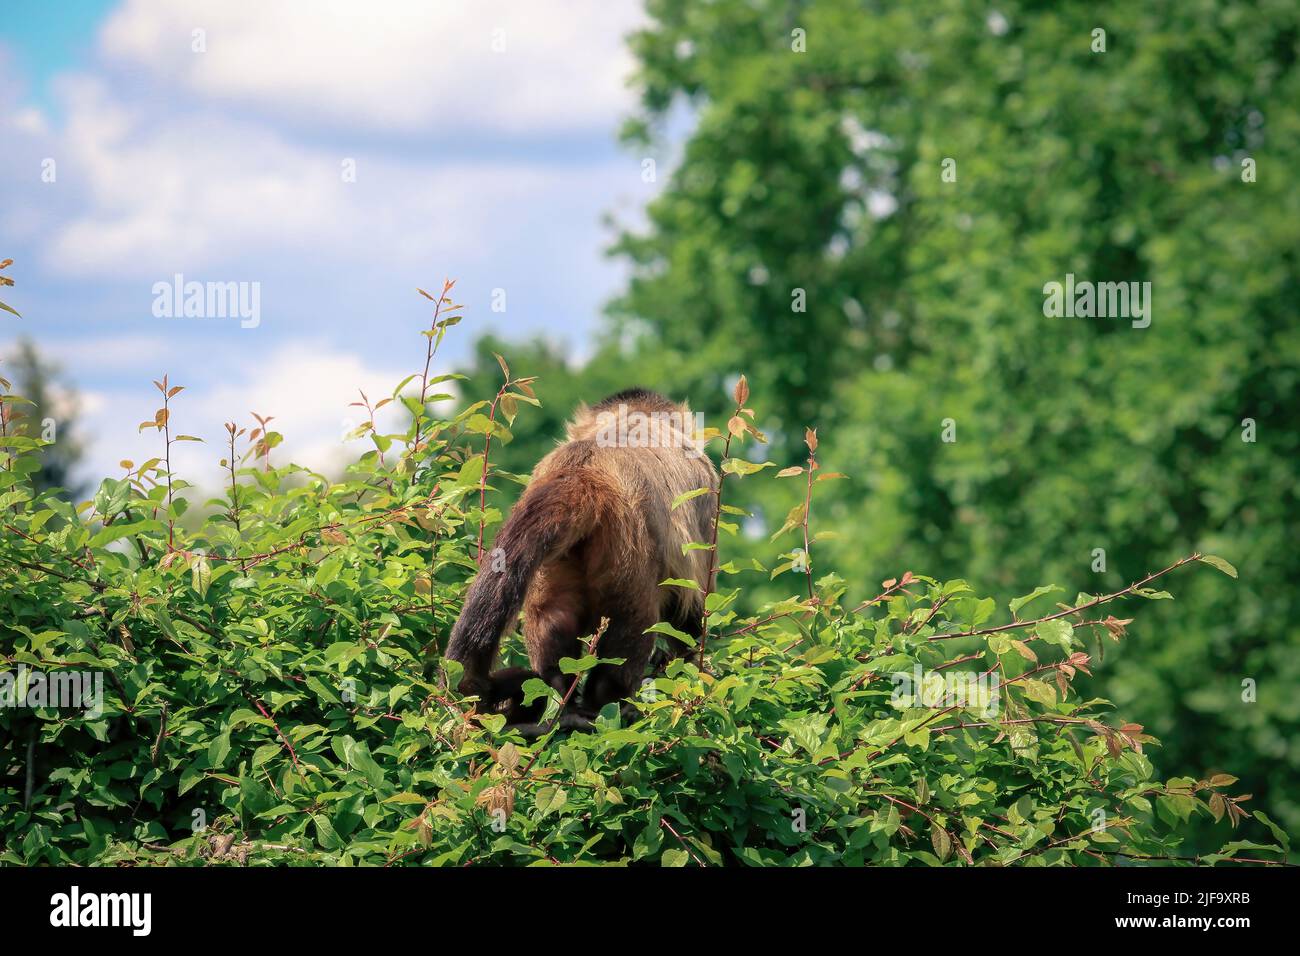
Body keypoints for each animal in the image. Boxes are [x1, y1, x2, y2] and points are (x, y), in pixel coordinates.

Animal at [447, 388, 717, 726]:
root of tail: (585, 471)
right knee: (633, 624)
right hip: (626, 556)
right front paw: (688, 659)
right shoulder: (707, 482)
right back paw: (605, 703)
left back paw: (560, 694)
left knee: (552, 619)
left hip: (554, 564)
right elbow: (693, 607)